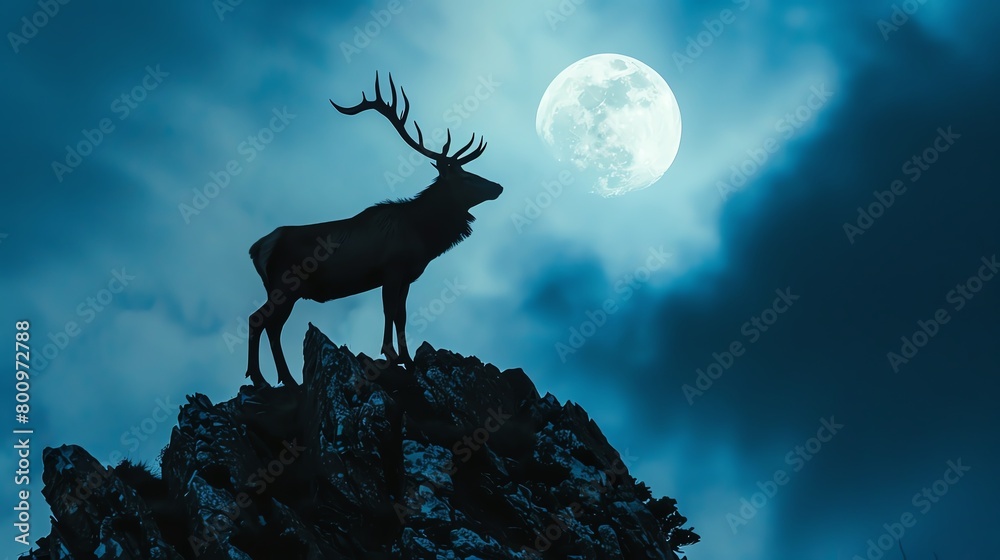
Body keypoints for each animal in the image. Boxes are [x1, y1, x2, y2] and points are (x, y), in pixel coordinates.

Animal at [244, 73, 503, 387]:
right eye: (467, 177)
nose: (498, 186)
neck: (424, 236)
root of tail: (258, 248)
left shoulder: (408, 276)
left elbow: (402, 315)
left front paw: (408, 360)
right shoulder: (392, 269)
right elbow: (389, 311)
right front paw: (390, 355)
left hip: (284, 289)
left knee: (272, 327)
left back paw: (287, 379)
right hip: (284, 284)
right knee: (258, 320)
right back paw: (260, 379)